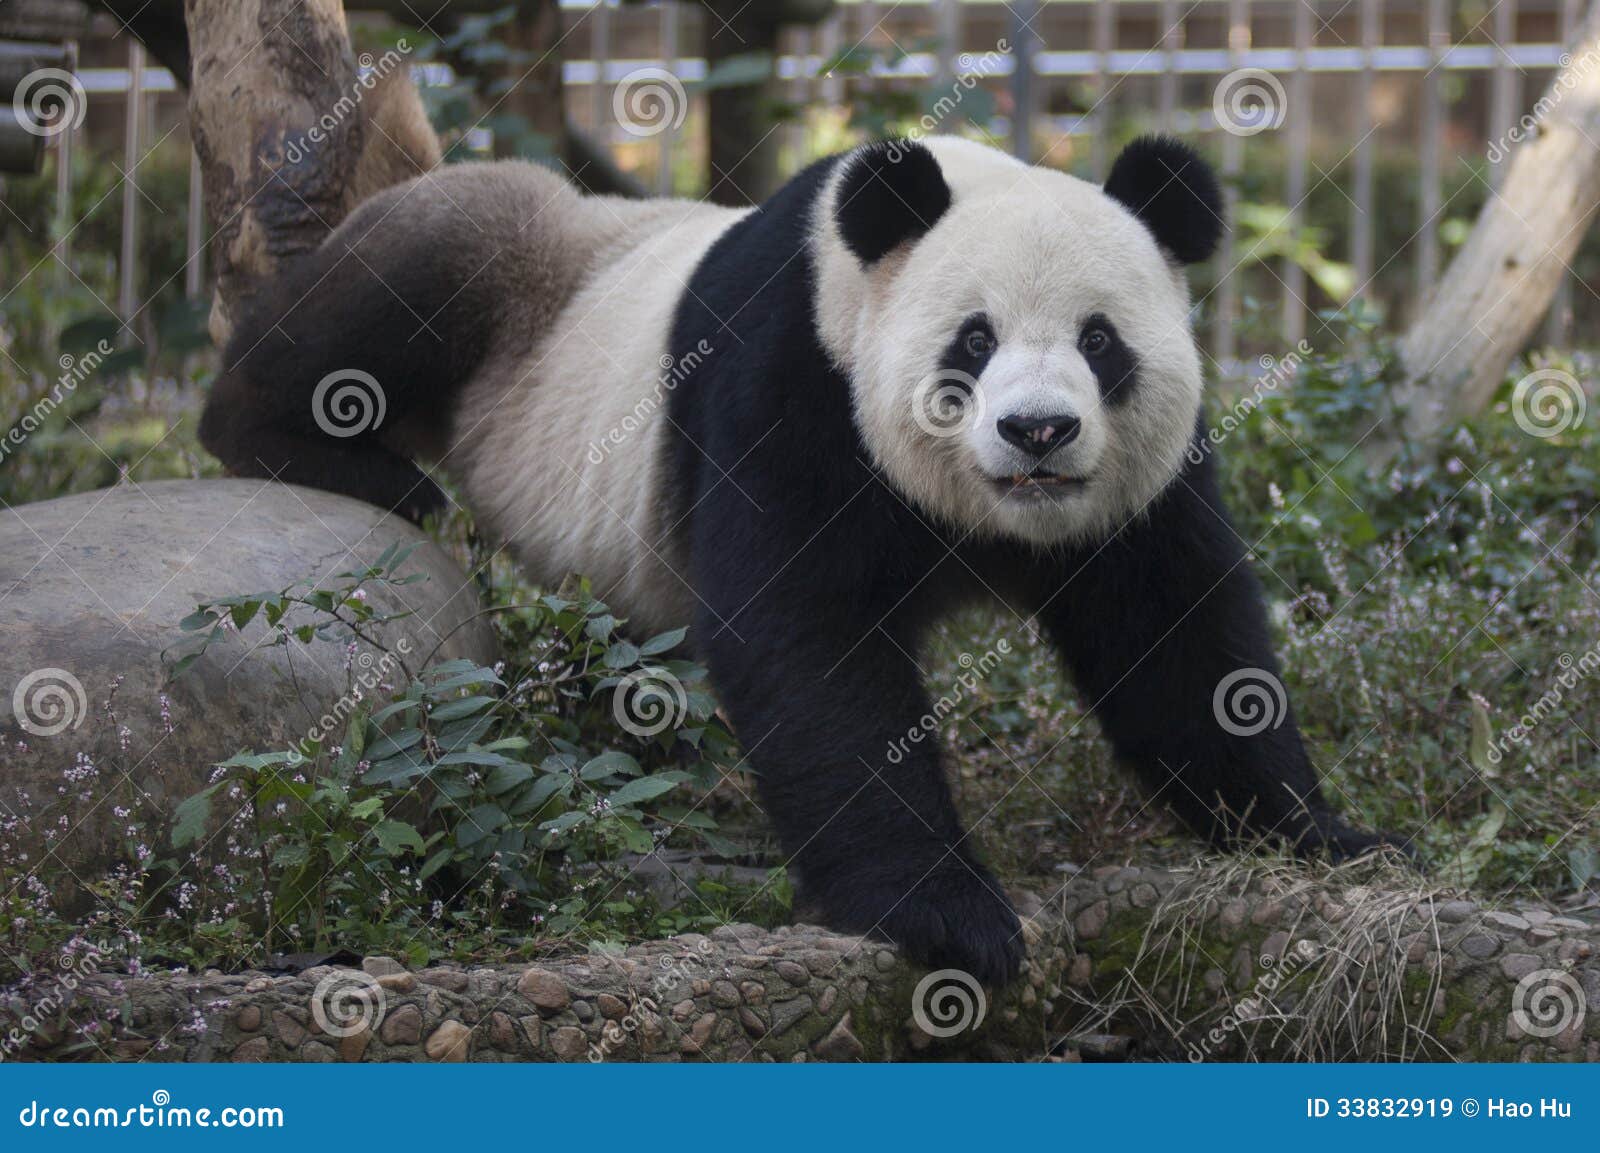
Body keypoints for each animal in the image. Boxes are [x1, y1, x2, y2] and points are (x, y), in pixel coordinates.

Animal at [200, 134, 1399, 983]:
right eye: (972, 340)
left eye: (1100, 341)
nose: (1039, 432)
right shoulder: (793, 376)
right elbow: (807, 645)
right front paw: (948, 916)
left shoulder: (1137, 487)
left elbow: (1177, 640)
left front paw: (1324, 837)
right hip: (532, 272)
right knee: (402, 285)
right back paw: (325, 454)